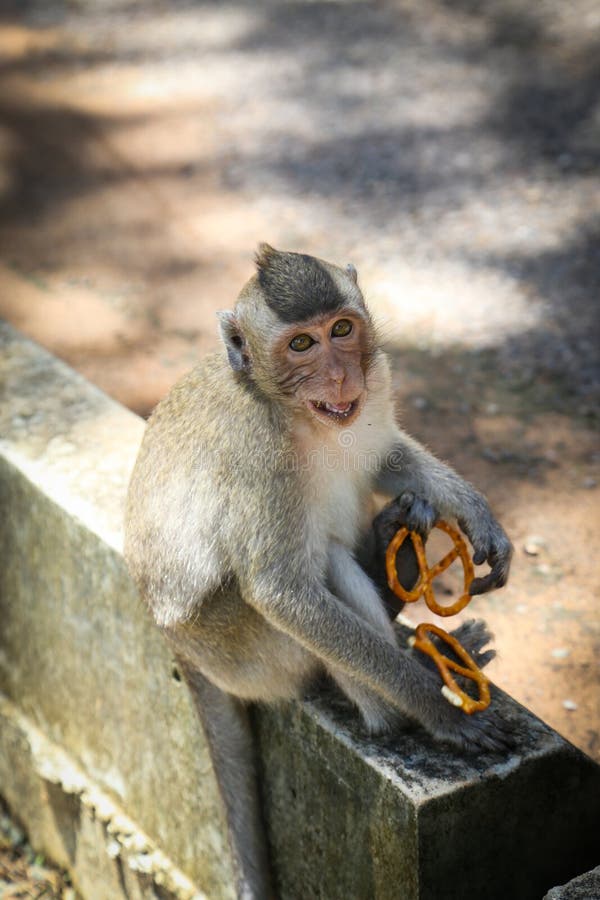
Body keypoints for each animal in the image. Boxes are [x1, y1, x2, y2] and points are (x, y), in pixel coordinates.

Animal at [124, 245, 513, 899]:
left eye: (342, 330)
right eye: (301, 345)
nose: (339, 376)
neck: (295, 413)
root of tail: (169, 638)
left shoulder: (377, 384)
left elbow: (387, 458)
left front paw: (478, 514)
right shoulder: (259, 458)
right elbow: (279, 592)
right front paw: (435, 708)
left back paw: (403, 564)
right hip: (237, 650)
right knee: (316, 573)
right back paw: (391, 709)